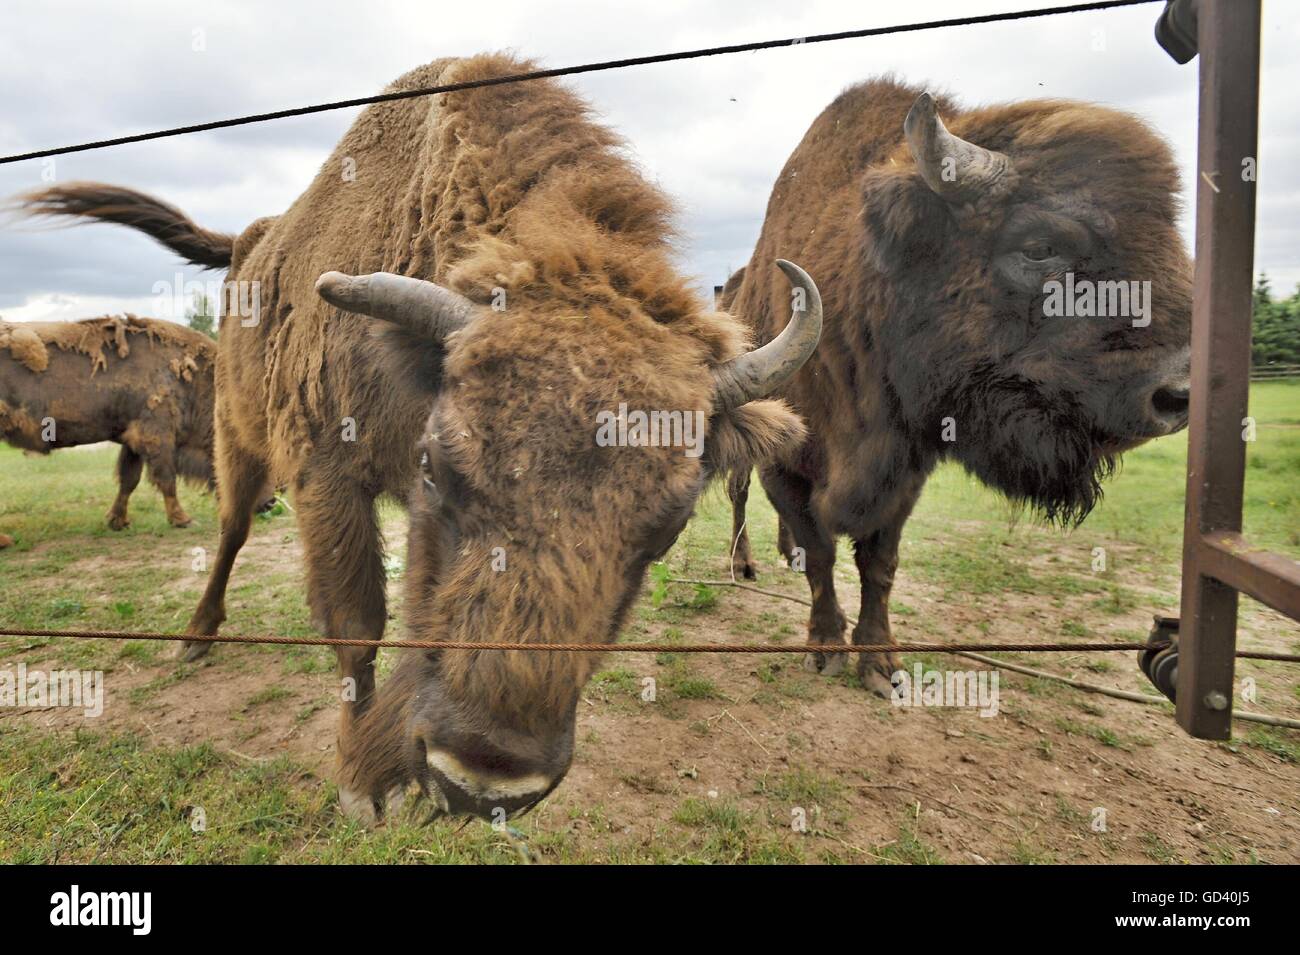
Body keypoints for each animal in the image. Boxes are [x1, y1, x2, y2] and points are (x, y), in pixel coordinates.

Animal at [0, 314, 216, 529]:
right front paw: (183, 519)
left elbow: (129, 480)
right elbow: (166, 478)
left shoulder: (133, 441)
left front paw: (117, 521)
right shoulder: (156, 436)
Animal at [723, 78, 1192, 694]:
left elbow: (878, 563)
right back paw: (743, 564)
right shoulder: (787, 465)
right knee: (738, 495)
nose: (1177, 395)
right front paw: (825, 648)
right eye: (1039, 246)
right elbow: (821, 552)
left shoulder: (905, 474)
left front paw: (882, 664)